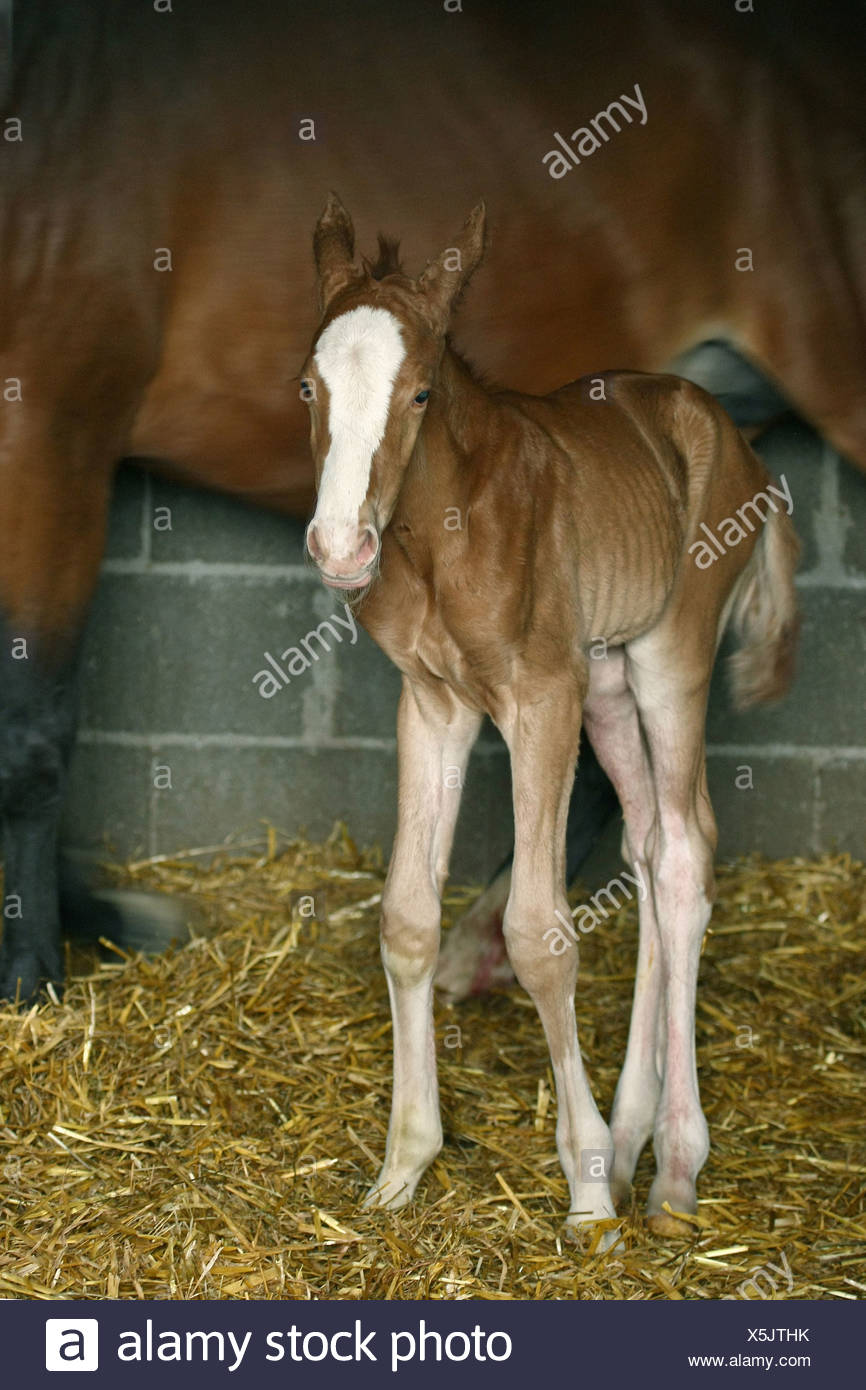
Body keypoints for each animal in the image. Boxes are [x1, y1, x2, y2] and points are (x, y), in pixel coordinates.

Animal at [0, 0, 862, 1003]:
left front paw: (33, 971)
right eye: (304, 387)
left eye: (421, 393)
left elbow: (30, 719)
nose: (340, 545)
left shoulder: (52, 418)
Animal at [300, 194, 800, 1241]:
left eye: (419, 395)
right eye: (307, 388)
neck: (443, 534)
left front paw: (589, 1189)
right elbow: (407, 919)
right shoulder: (435, 703)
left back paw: (672, 1173)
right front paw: (402, 1170)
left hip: (666, 659)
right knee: (648, 844)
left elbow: (538, 935)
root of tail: (733, 437)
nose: (340, 546)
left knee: (686, 848)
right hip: (605, 683)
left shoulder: (538, 697)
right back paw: (639, 1128)